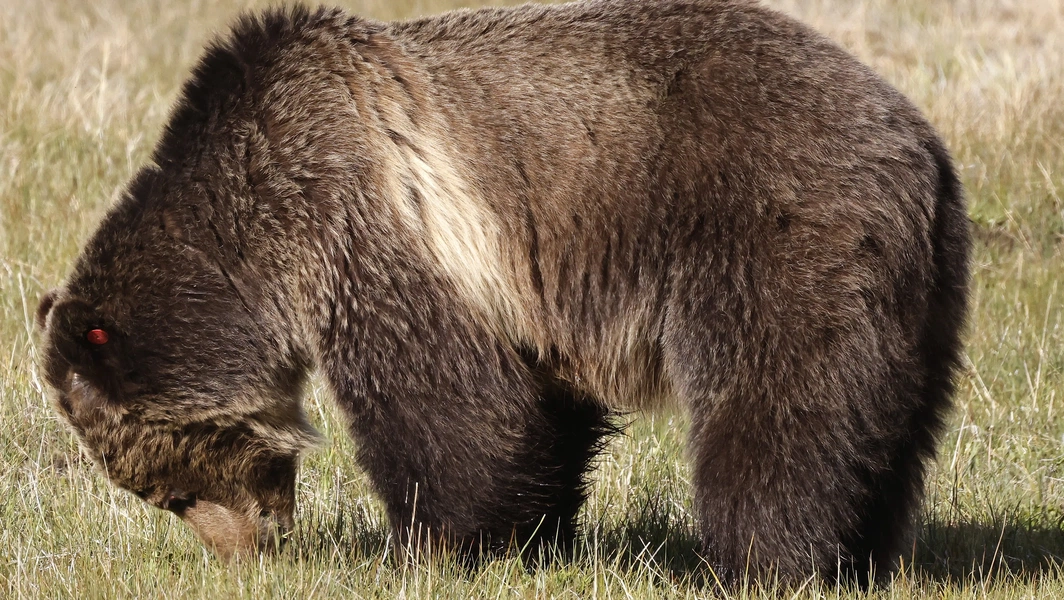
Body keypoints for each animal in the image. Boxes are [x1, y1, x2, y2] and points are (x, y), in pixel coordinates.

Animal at [37, 0, 970, 586]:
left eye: (168, 488)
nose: (246, 554)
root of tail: (919, 147)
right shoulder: (507, 293)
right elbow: (540, 414)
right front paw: (532, 538)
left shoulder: (372, 218)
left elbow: (454, 410)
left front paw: (422, 548)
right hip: (919, 299)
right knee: (889, 430)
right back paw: (866, 556)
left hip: (773, 241)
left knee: (774, 413)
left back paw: (758, 563)